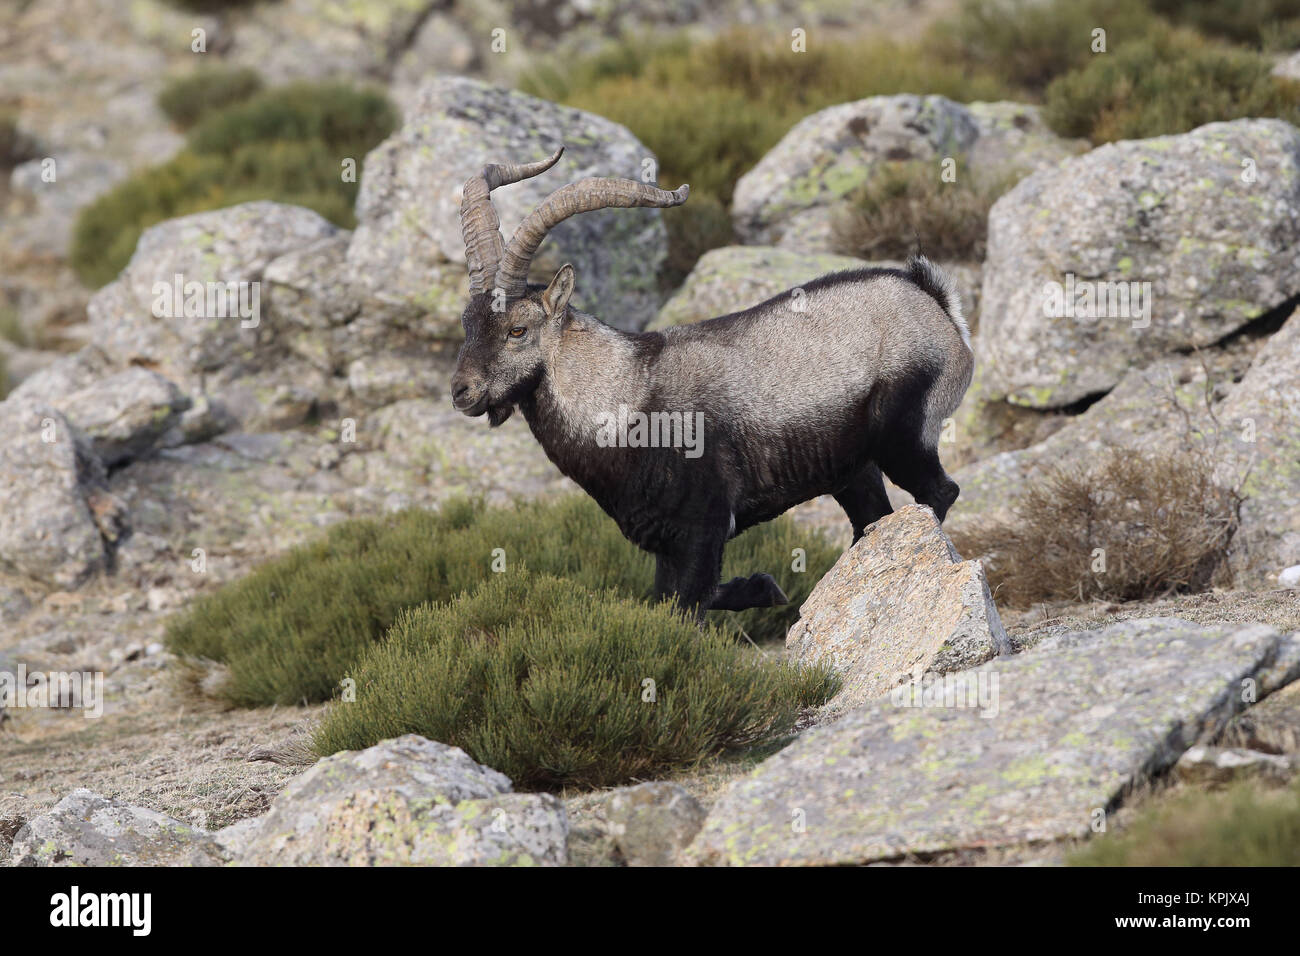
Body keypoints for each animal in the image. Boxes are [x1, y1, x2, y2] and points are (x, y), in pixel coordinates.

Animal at [450, 146, 974, 618]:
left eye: (518, 329)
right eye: (467, 323)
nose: (462, 392)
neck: (625, 393)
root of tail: (932, 300)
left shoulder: (705, 523)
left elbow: (692, 600)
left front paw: (765, 588)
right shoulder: (665, 541)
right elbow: (671, 603)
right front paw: (765, 589)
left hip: (904, 432)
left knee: (939, 493)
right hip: (853, 470)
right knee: (875, 516)